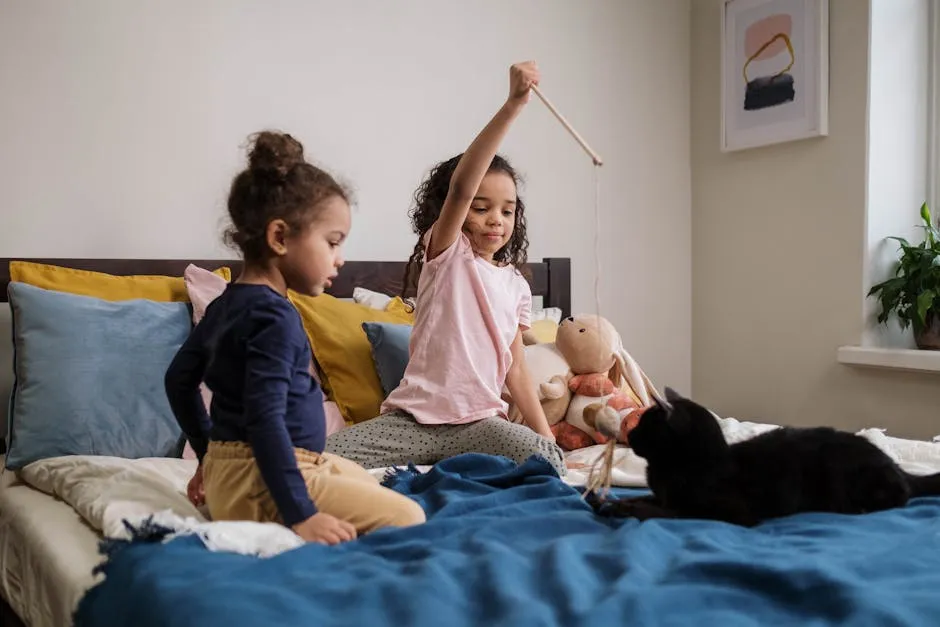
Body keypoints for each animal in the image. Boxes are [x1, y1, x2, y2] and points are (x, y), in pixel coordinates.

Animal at [592, 388, 940, 528]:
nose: (629, 436)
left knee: (901, 495)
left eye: (644, 424)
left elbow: (670, 512)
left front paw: (623, 508)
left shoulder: (730, 512)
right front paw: (608, 501)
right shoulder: (662, 493)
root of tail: (895, 465)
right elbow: (651, 500)